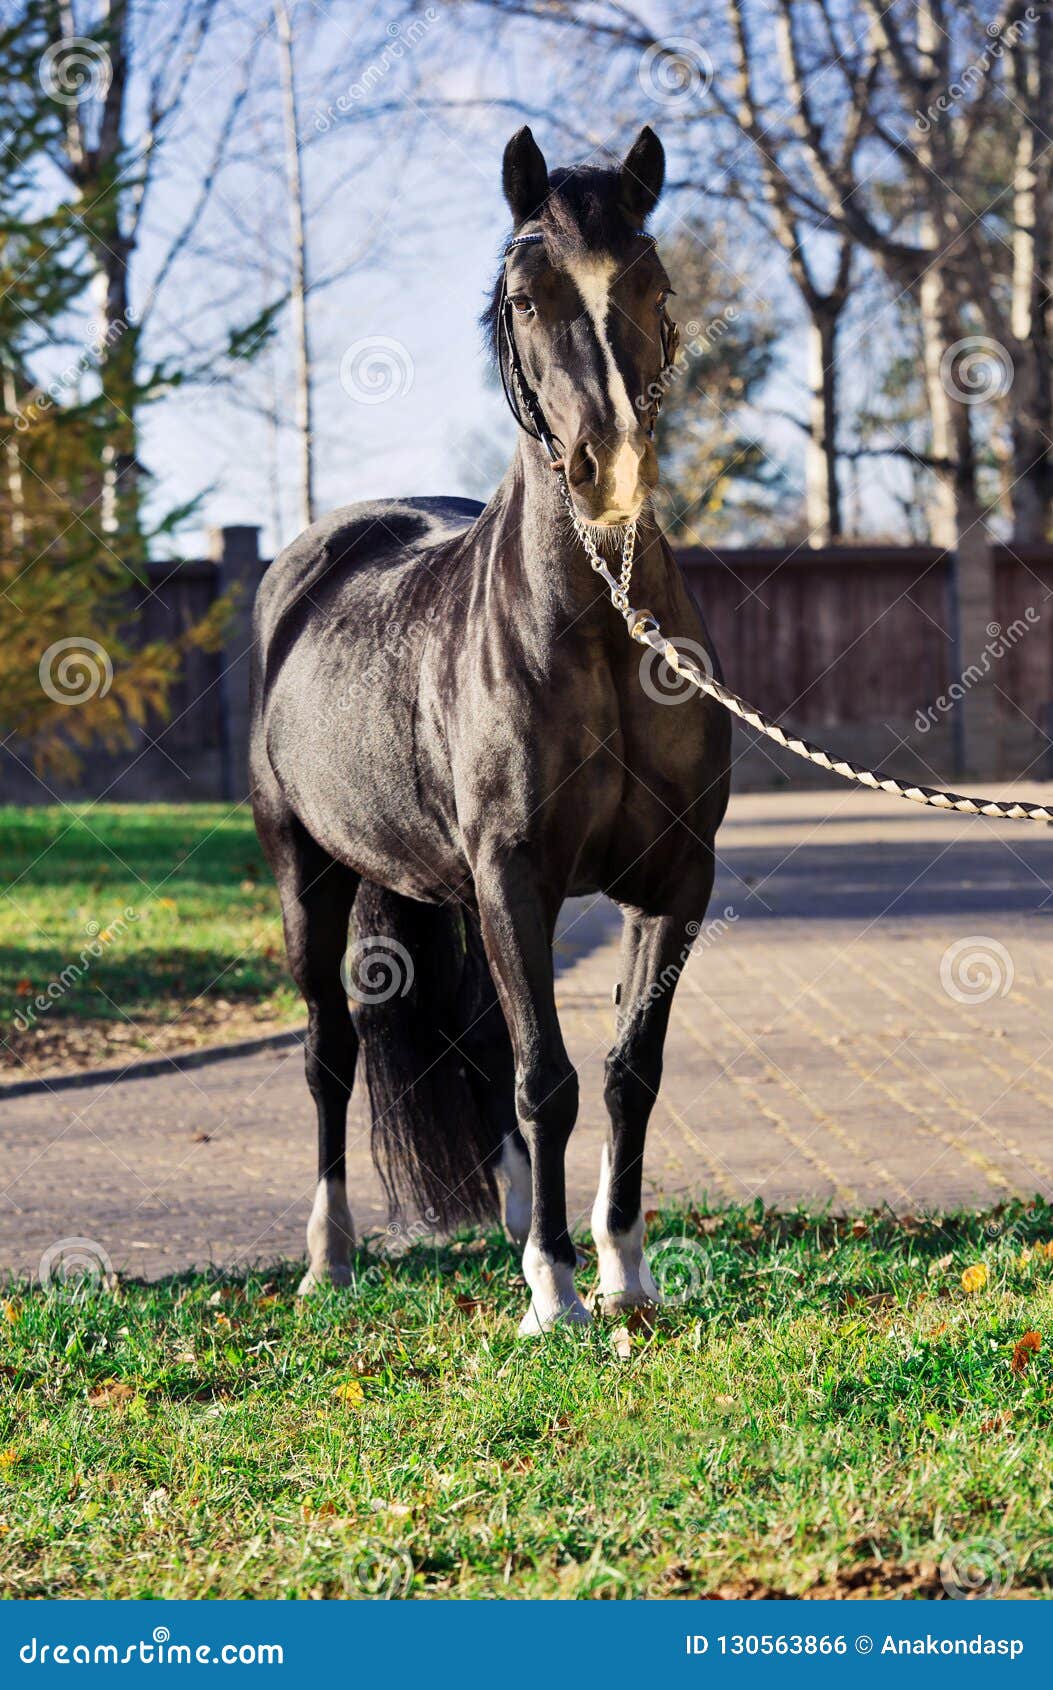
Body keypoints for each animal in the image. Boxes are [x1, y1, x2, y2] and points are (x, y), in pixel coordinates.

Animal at [250, 124, 731, 1334]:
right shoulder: (516, 876)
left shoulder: (674, 880)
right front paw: (555, 1294)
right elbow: (546, 1077)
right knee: (330, 1055)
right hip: (308, 872)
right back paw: (330, 1259)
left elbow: (623, 1070)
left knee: (473, 1035)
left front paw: (620, 1273)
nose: (610, 475)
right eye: (523, 294)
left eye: (654, 284)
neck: (600, 634)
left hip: (450, 892)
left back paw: (516, 1224)